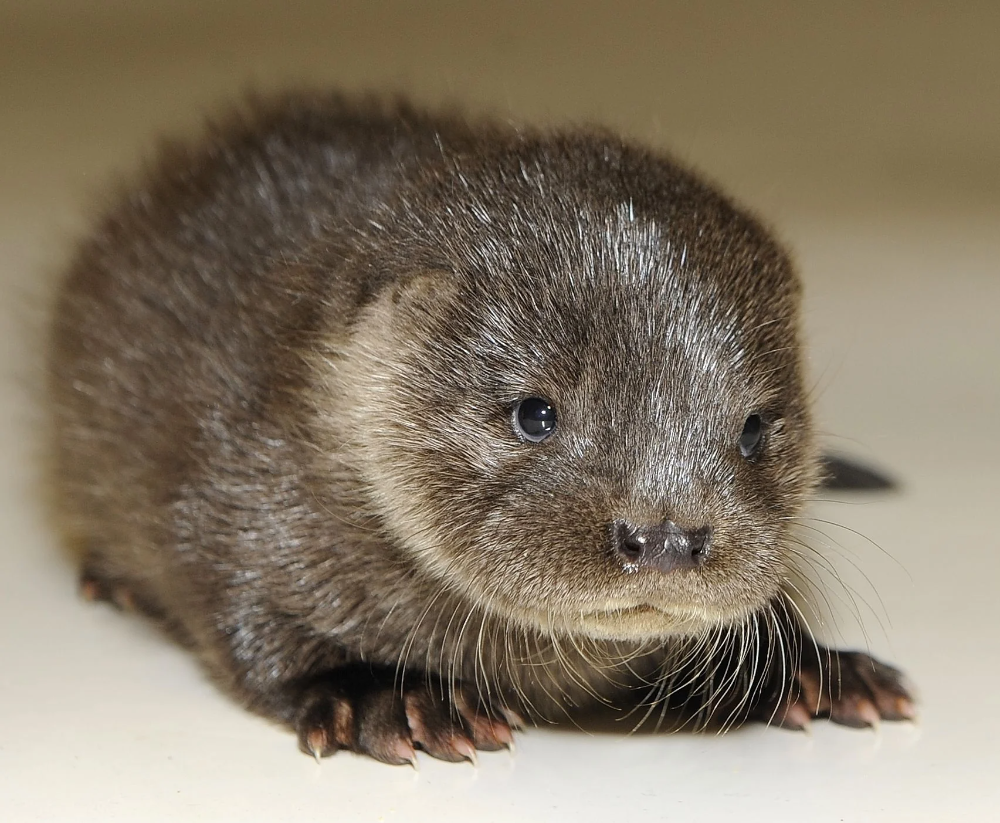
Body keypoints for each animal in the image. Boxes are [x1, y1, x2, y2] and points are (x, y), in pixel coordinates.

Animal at [47, 92, 913, 765]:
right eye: (535, 413)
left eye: (754, 426)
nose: (667, 537)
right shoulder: (237, 483)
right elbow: (246, 607)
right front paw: (391, 698)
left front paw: (811, 668)